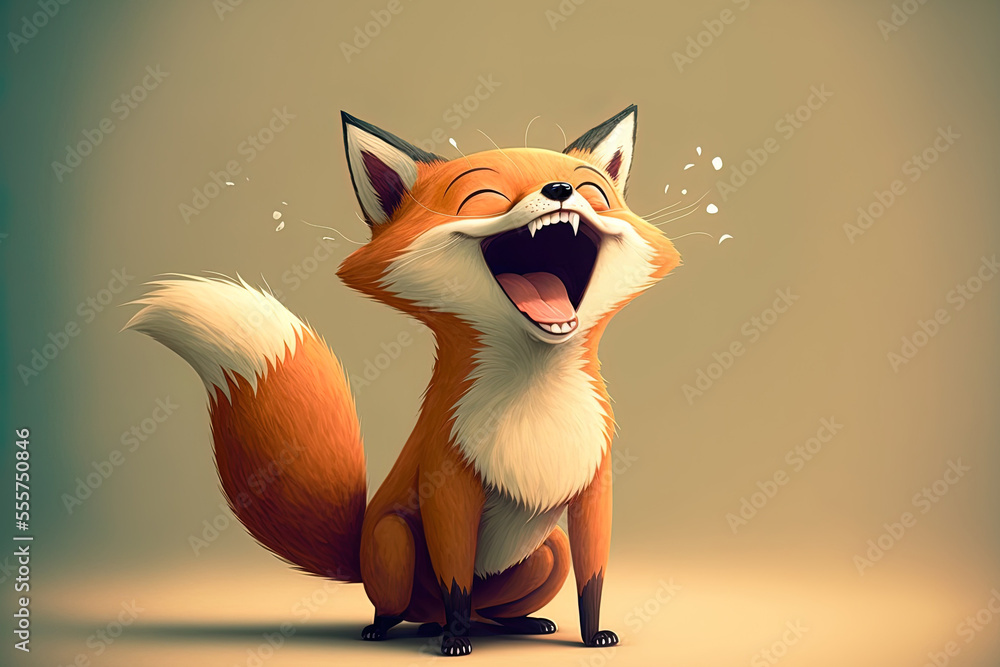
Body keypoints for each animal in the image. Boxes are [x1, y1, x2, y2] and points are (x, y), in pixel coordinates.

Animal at [125, 105, 680, 656]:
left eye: (592, 191)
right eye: (485, 196)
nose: (561, 190)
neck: (537, 399)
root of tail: (358, 552)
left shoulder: (594, 487)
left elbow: (593, 581)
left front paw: (594, 636)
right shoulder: (449, 484)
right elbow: (456, 577)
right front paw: (456, 643)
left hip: (549, 551)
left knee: (489, 608)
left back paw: (518, 623)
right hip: (393, 540)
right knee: (415, 606)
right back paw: (401, 628)